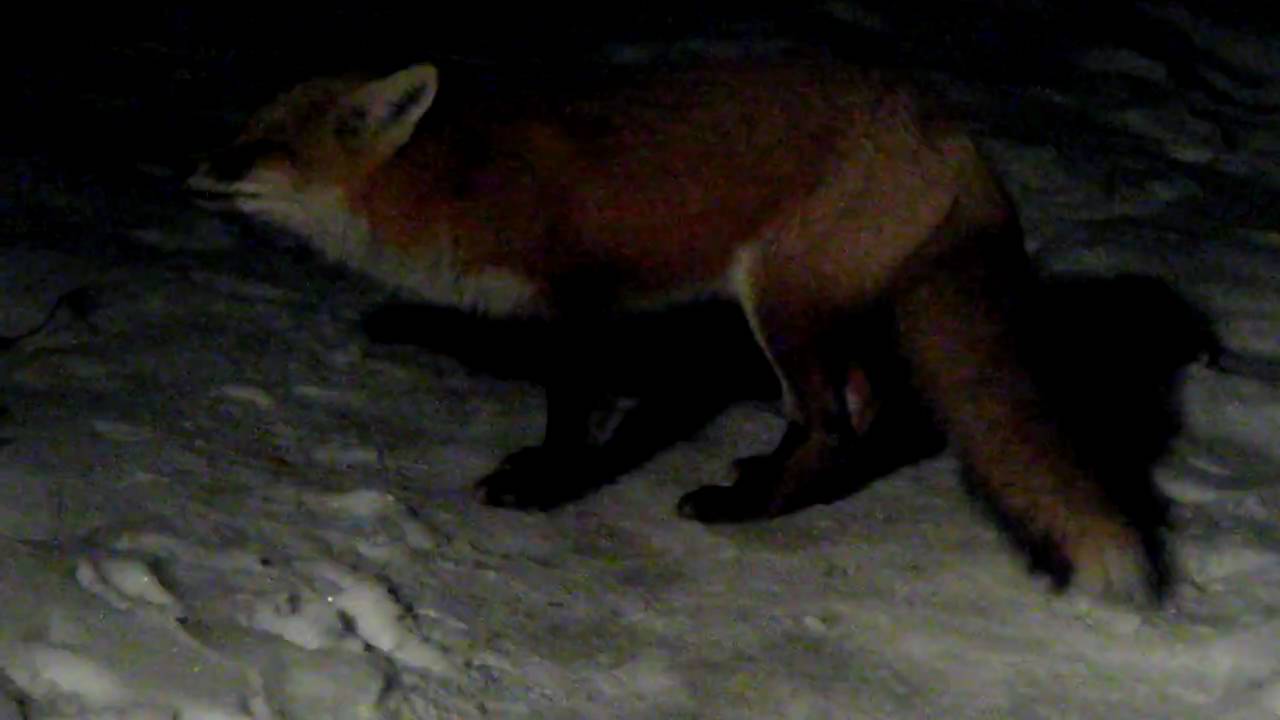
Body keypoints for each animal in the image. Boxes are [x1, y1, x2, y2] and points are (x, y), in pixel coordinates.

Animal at [182, 54, 1170, 604]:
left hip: (780, 302)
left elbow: (571, 415)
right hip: (819, 311)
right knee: (864, 407)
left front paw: (547, 488)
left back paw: (745, 509)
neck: (450, 182)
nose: (190, 173)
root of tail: (959, 139)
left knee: (833, 418)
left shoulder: (578, 301)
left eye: (253, 150)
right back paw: (763, 478)